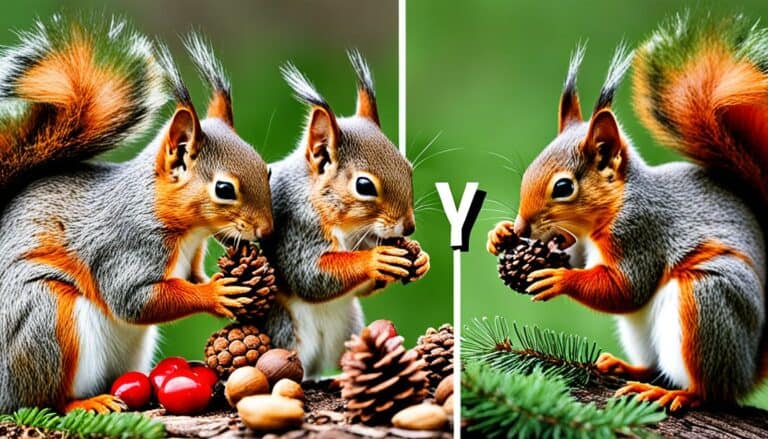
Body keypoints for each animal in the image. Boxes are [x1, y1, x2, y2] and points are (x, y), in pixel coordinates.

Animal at [0, 16, 272, 413]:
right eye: (224, 189)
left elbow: (189, 279)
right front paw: (217, 292)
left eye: (267, 170)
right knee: (42, 401)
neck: (187, 231)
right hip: (45, 318)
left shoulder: (190, 259)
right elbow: (134, 299)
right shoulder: (126, 246)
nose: (267, 230)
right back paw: (86, 403)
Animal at [263, 51, 430, 376]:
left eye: (408, 168)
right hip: (285, 330)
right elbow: (310, 275)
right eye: (364, 185)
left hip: (349, 326)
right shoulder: (297, 228)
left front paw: (419, 257)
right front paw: (376, 259)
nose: (409, 228)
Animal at [488, 14, 768, 411]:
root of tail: (747, 371)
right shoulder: (583, 243)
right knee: (654, 364)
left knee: (709, 390)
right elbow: (577, 258)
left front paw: (560, 279)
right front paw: (499, 234)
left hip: (707, 302)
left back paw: (672, 392)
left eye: (563, 187)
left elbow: (626, 289)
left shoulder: (640, 231)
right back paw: (627, 368)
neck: (614, 207)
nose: (522, 227)